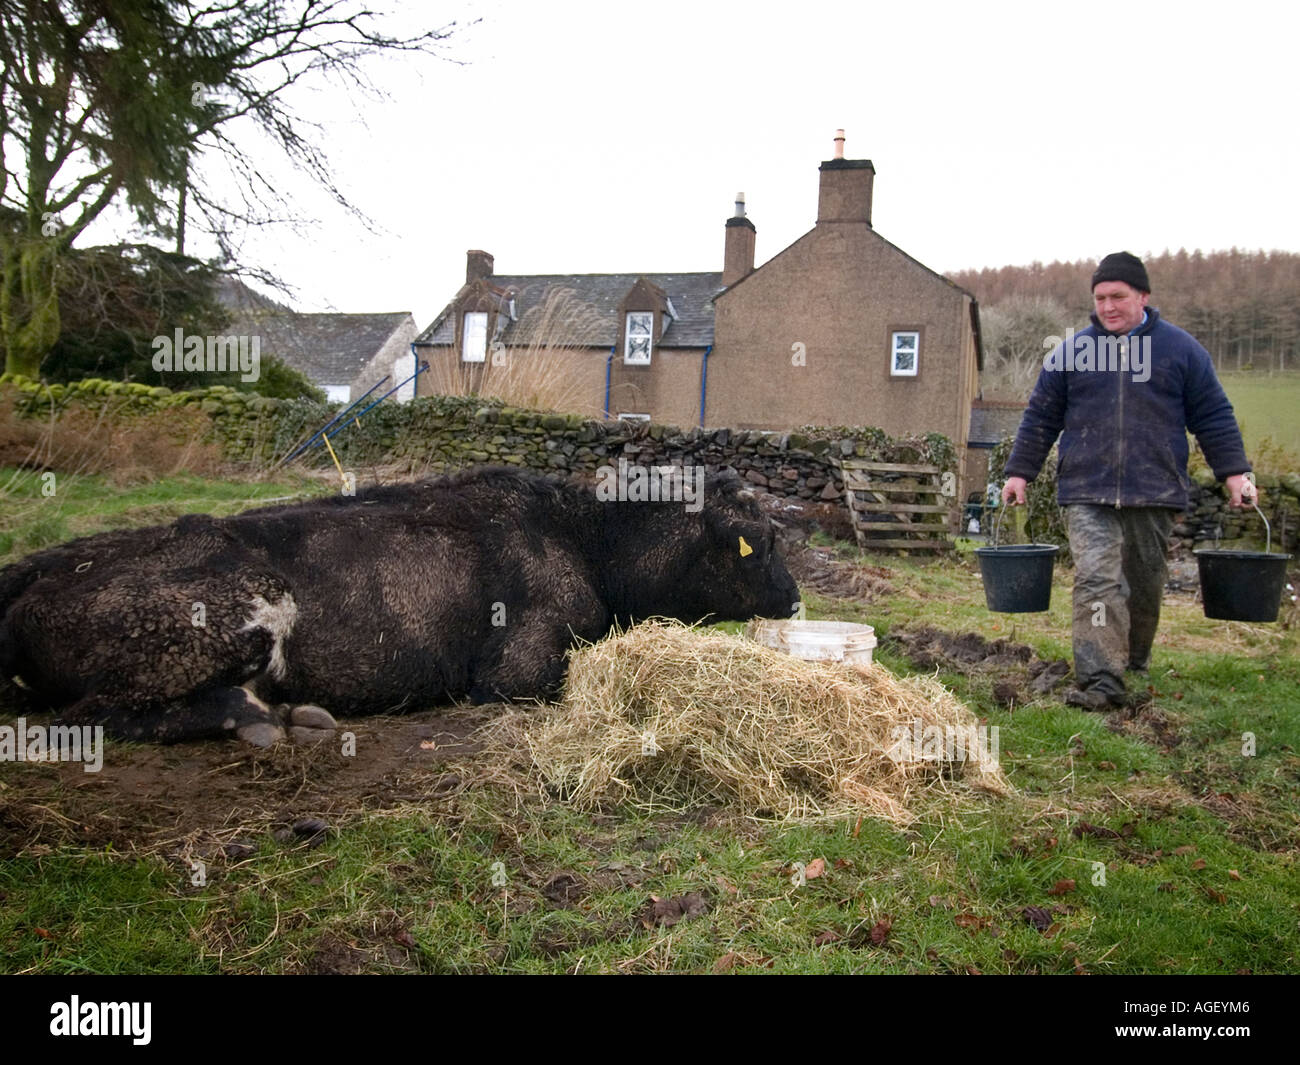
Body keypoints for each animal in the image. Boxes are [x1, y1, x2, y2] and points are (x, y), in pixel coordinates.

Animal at [0, 466, 799, 746]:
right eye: (761, 540)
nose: (794, 598)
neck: (585, 537)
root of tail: (40, 565)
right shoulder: (516, 670)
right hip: (212, 621)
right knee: (88, 715)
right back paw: (259, 715)